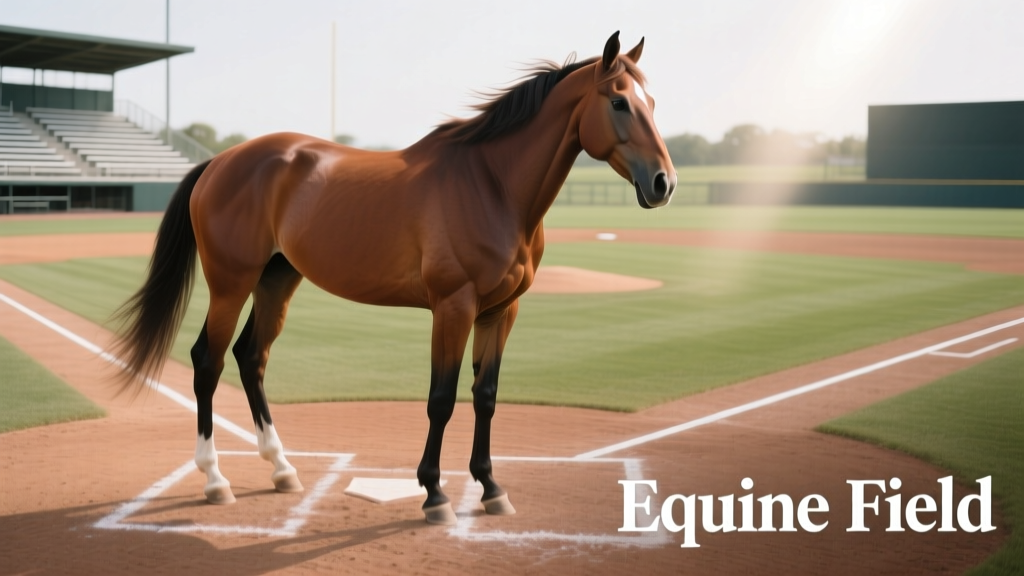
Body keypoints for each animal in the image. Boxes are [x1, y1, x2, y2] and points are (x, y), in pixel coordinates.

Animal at [114, 31, 676, 525]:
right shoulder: (453, 307)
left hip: (277, 280)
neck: (491, 186)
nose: (664, 183)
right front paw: (433, 494)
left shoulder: (501, 311)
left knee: (251, 358)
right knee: (207, 363)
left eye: (652, 100)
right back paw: (215, 480)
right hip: (231, 283)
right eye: (619, 102)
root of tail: (220, 161)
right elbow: (441, 400)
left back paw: (281, 469)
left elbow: (486, 396)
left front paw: (491, 488)